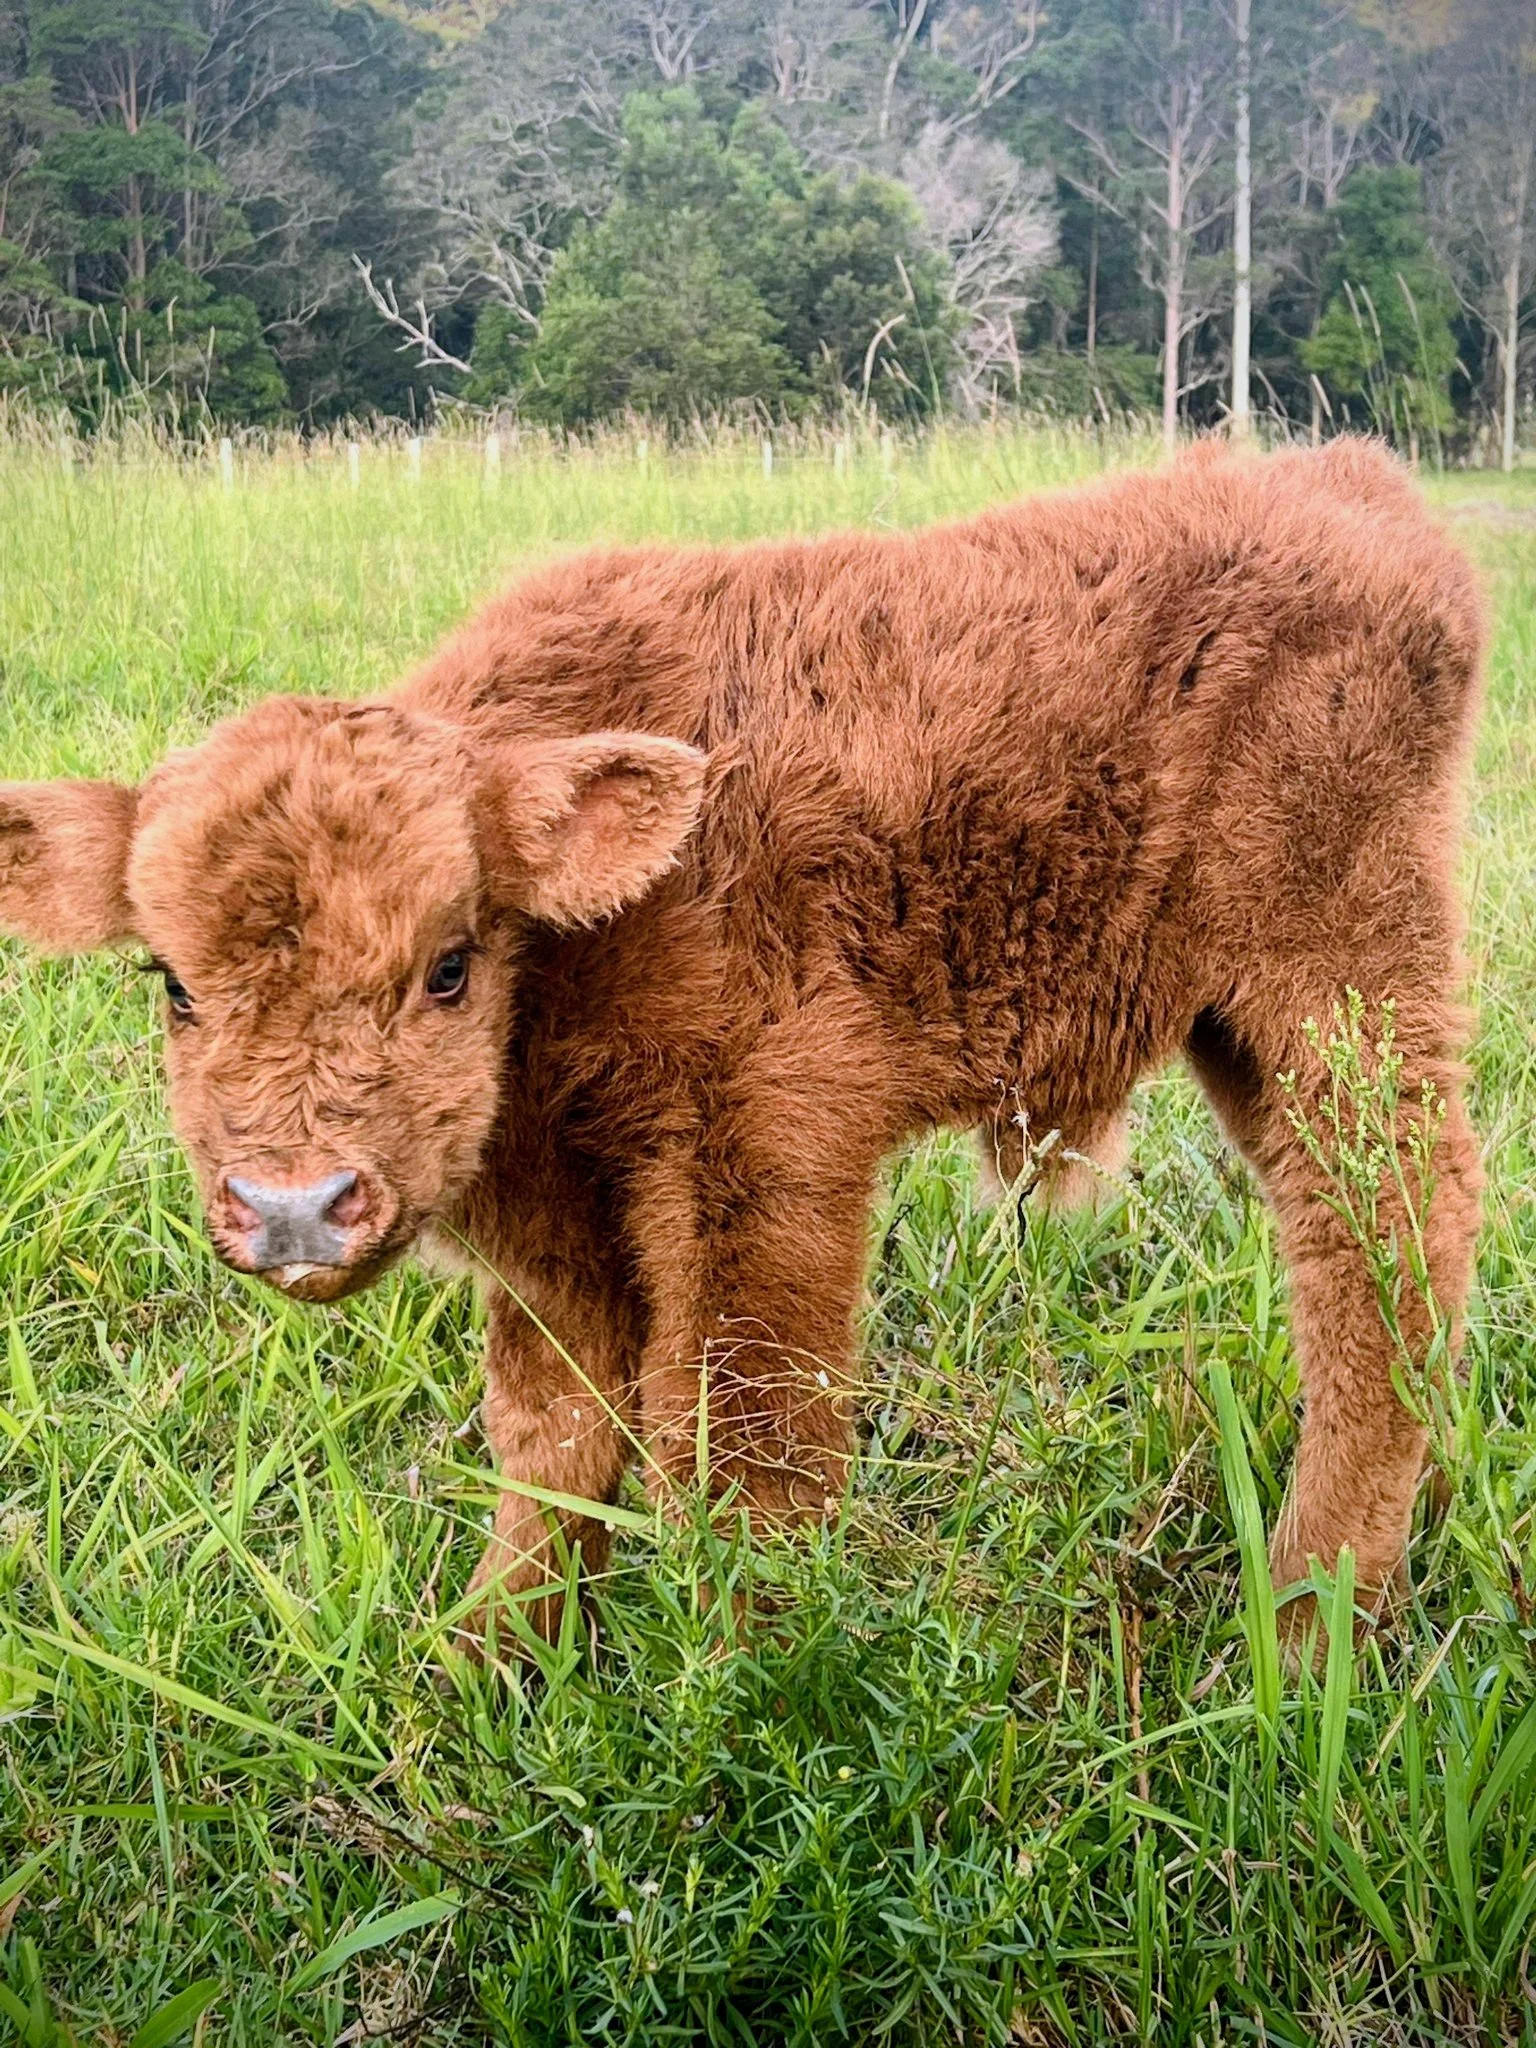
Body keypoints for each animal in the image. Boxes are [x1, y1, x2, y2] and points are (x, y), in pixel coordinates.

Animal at [0, 439, 1484, 1653]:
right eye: (173, 984)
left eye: (449, 965)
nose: (295, 1206)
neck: (578, 939)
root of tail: (1355, 485)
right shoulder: (555, 1216)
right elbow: (557, 1425)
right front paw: (493, 1658)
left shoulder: (762, 1152)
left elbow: (738, 1430)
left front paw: (747, 1687)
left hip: (1345, 985)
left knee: (1388, 1242)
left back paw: (1310, 1623)